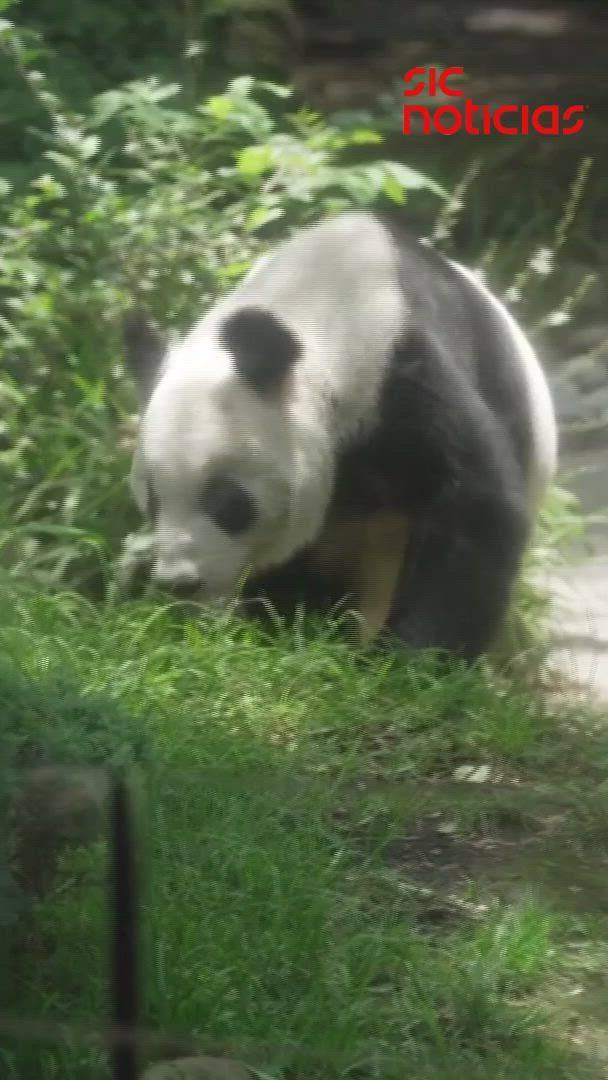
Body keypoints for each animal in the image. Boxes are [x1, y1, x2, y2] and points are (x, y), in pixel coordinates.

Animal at [121, 210, 557, 661]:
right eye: (152, 501)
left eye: (226, 501)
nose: (180, 583)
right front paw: (278, 634)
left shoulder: (403, 373)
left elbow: (475, 503)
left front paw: (412, 660)